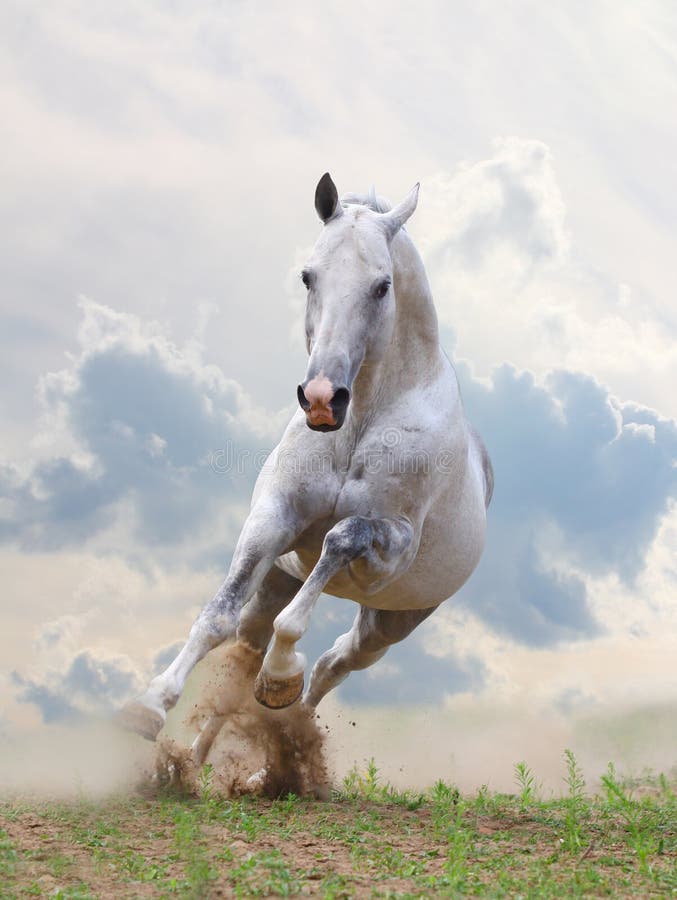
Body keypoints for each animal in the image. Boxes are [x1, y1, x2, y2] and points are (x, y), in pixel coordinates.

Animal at [118, 173, 493, 760]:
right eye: (307, 276)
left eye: (382, 286)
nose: (321, 400)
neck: (359, 422)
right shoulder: (274, 520)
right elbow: (217, 617)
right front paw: (148, 707)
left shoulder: (389, 549)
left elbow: (334, 549)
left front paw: (279, 677)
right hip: (277, 578)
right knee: (246, 651)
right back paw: (196, 763)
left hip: (389, 624)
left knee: (332, 666)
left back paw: (277, 731)